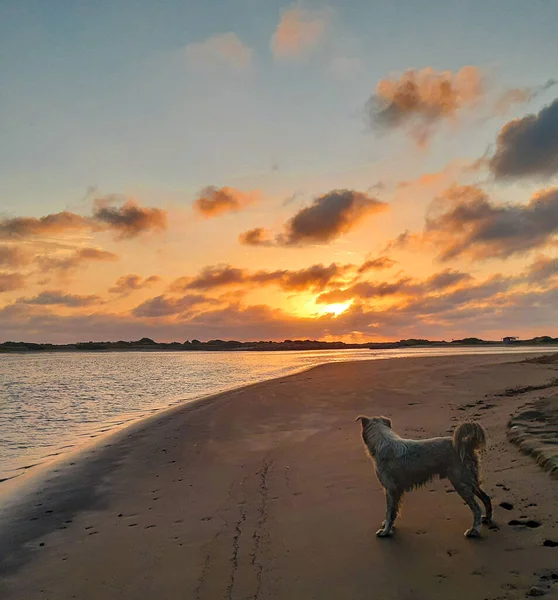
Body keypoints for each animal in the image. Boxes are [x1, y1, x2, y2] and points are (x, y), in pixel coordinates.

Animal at [358, 418, 494, 540]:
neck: (382, 441)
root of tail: (467, 445)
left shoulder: (391, 489)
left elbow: (389, 512)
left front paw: (386, 531)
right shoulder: (395, 491)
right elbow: (393, 512)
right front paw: (388, 526)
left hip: (460, 483)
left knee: (476, 508)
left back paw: (474, 530)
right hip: (469, 480)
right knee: (486, 498)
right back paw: (487, 518)